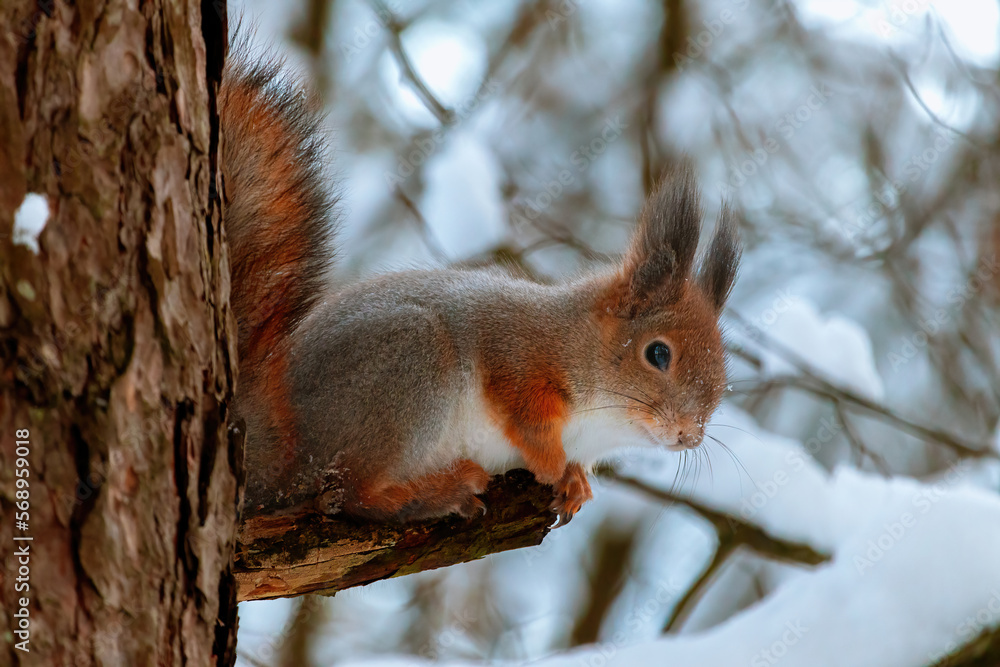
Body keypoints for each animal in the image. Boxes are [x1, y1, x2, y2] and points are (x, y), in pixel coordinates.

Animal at [220, 50, 741, 526]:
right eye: (658, 354)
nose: (690, 436)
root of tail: (281, 451)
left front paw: (576, 483)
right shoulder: (515, 351)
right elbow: (522, 409)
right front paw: (553, 464)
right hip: (409, 365)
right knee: (349, 494)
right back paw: (437, 492)